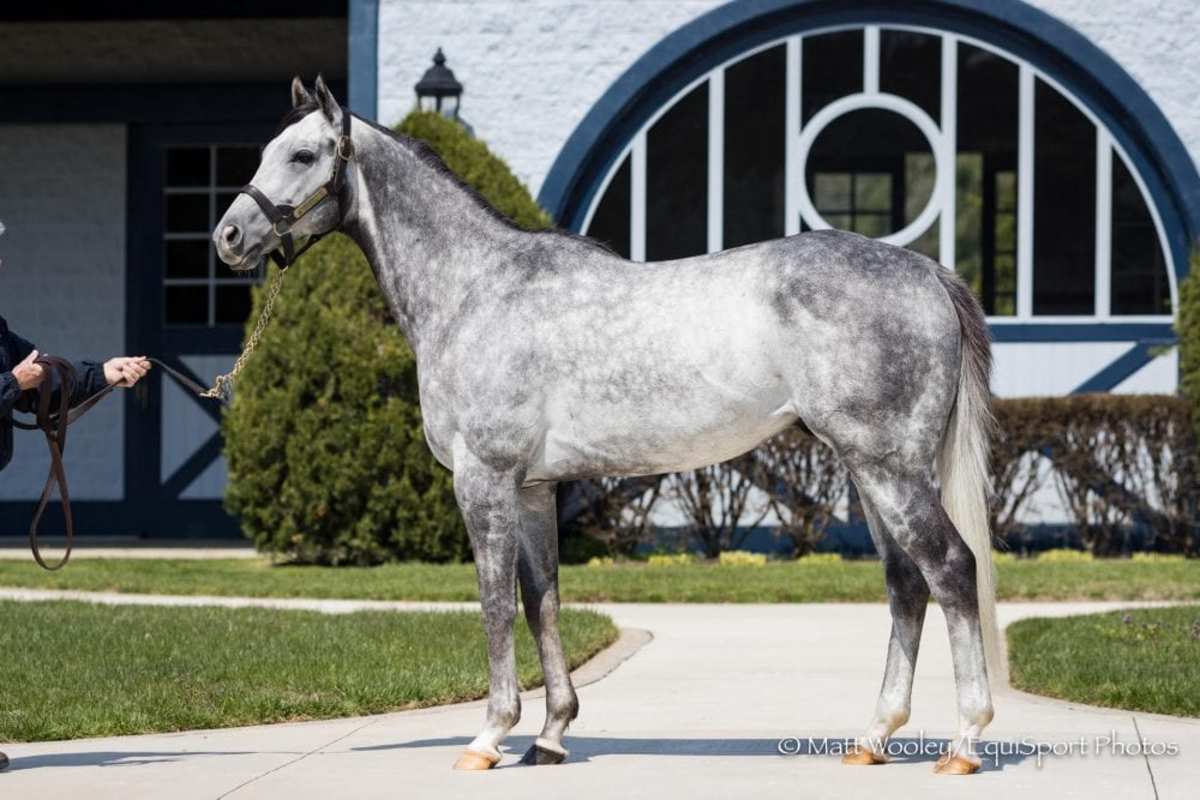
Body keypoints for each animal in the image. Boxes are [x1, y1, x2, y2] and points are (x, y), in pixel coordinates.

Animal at [214, 76, 1000, 775]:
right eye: (266, 150)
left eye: (303, 155)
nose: (228, 236)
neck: (475, 290)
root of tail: (925, 273)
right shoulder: (533, 489)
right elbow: (543, 601)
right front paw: (550, 736)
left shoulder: (484, 480)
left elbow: (495, 602)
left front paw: (489, 737)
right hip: (870, 470)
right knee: (905, 584)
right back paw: (874, 736)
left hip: (889, 469)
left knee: (950, 568)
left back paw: (964, 742)